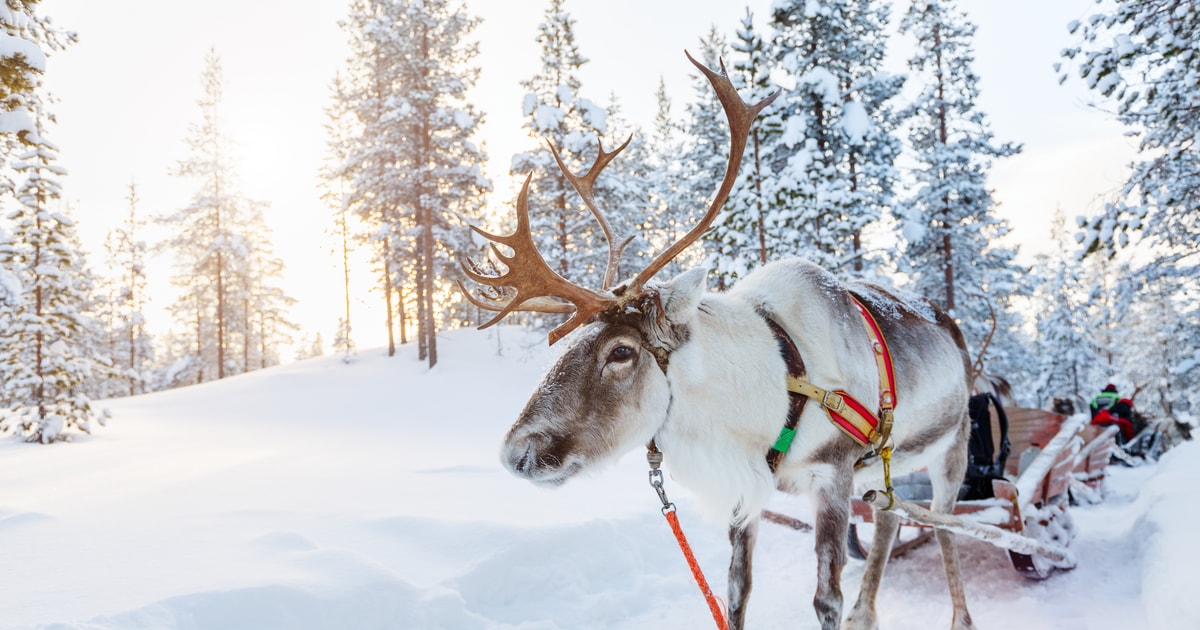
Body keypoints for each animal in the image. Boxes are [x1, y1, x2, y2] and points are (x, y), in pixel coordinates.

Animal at [462, 52, 977, 630]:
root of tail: (950, 324)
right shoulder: (745, 488)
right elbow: (736, 591)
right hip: (890, 470)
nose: (515, 453)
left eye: (621, 351)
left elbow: (825, 598)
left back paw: (959, 615)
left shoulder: (835, 475)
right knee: (890, 521)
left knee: (944, 525)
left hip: (952, 448)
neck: (774, 386)